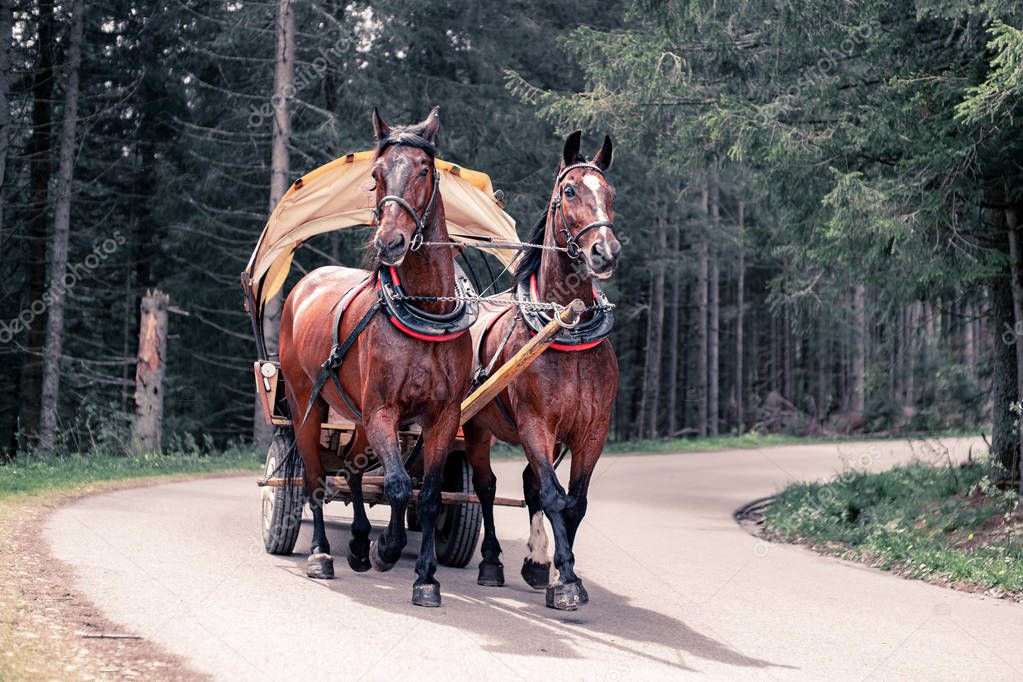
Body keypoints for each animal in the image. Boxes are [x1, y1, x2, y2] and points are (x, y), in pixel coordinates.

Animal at [278, 107, 474, 607]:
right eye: (375, 174)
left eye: (424, 170)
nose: (389, 243)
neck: (427, 312)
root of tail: (304, 286)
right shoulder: (384, 410)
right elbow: (399, 484)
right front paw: (387, 549)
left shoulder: (441, 417)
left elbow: (426, 496)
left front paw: (425, 577)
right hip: (309, 406)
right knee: (315, 479)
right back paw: (323, 554)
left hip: (361, 418)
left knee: (352, 468)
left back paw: (360, 542)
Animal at [464, 131, 621, 610]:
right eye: (568, 191)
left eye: (610, 192)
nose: (604, 252)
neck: (566, 329)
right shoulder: (535, 423)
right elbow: (553, 495)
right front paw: (566, 579)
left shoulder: (590, 432)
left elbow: (575, 502)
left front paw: (553, 570)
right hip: (475, 427)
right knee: (486, 485)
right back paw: (491, 562)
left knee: (527, 484)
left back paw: (534, 562)